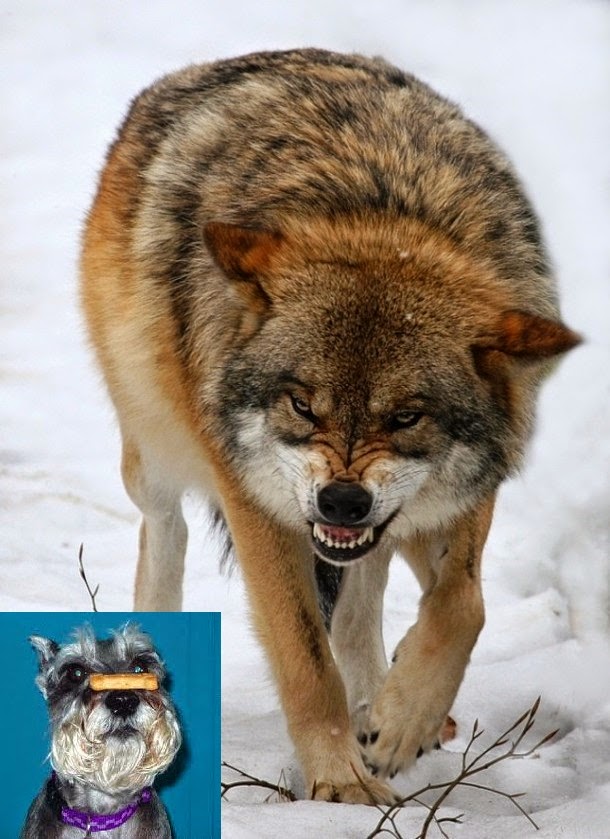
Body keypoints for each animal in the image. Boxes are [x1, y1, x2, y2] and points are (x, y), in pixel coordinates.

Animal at [80, 48, 580, 804]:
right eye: (302, 405)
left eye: (406, 416)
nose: (342, 501)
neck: (380, 217)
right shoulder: (257, 506)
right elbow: (307, 661)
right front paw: (341, 784)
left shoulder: (461, 494)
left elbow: (462, 604)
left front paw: (399, 722)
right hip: (153, 447)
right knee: (164, 529)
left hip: (392, 524)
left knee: (360, 606)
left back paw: (380, 700)